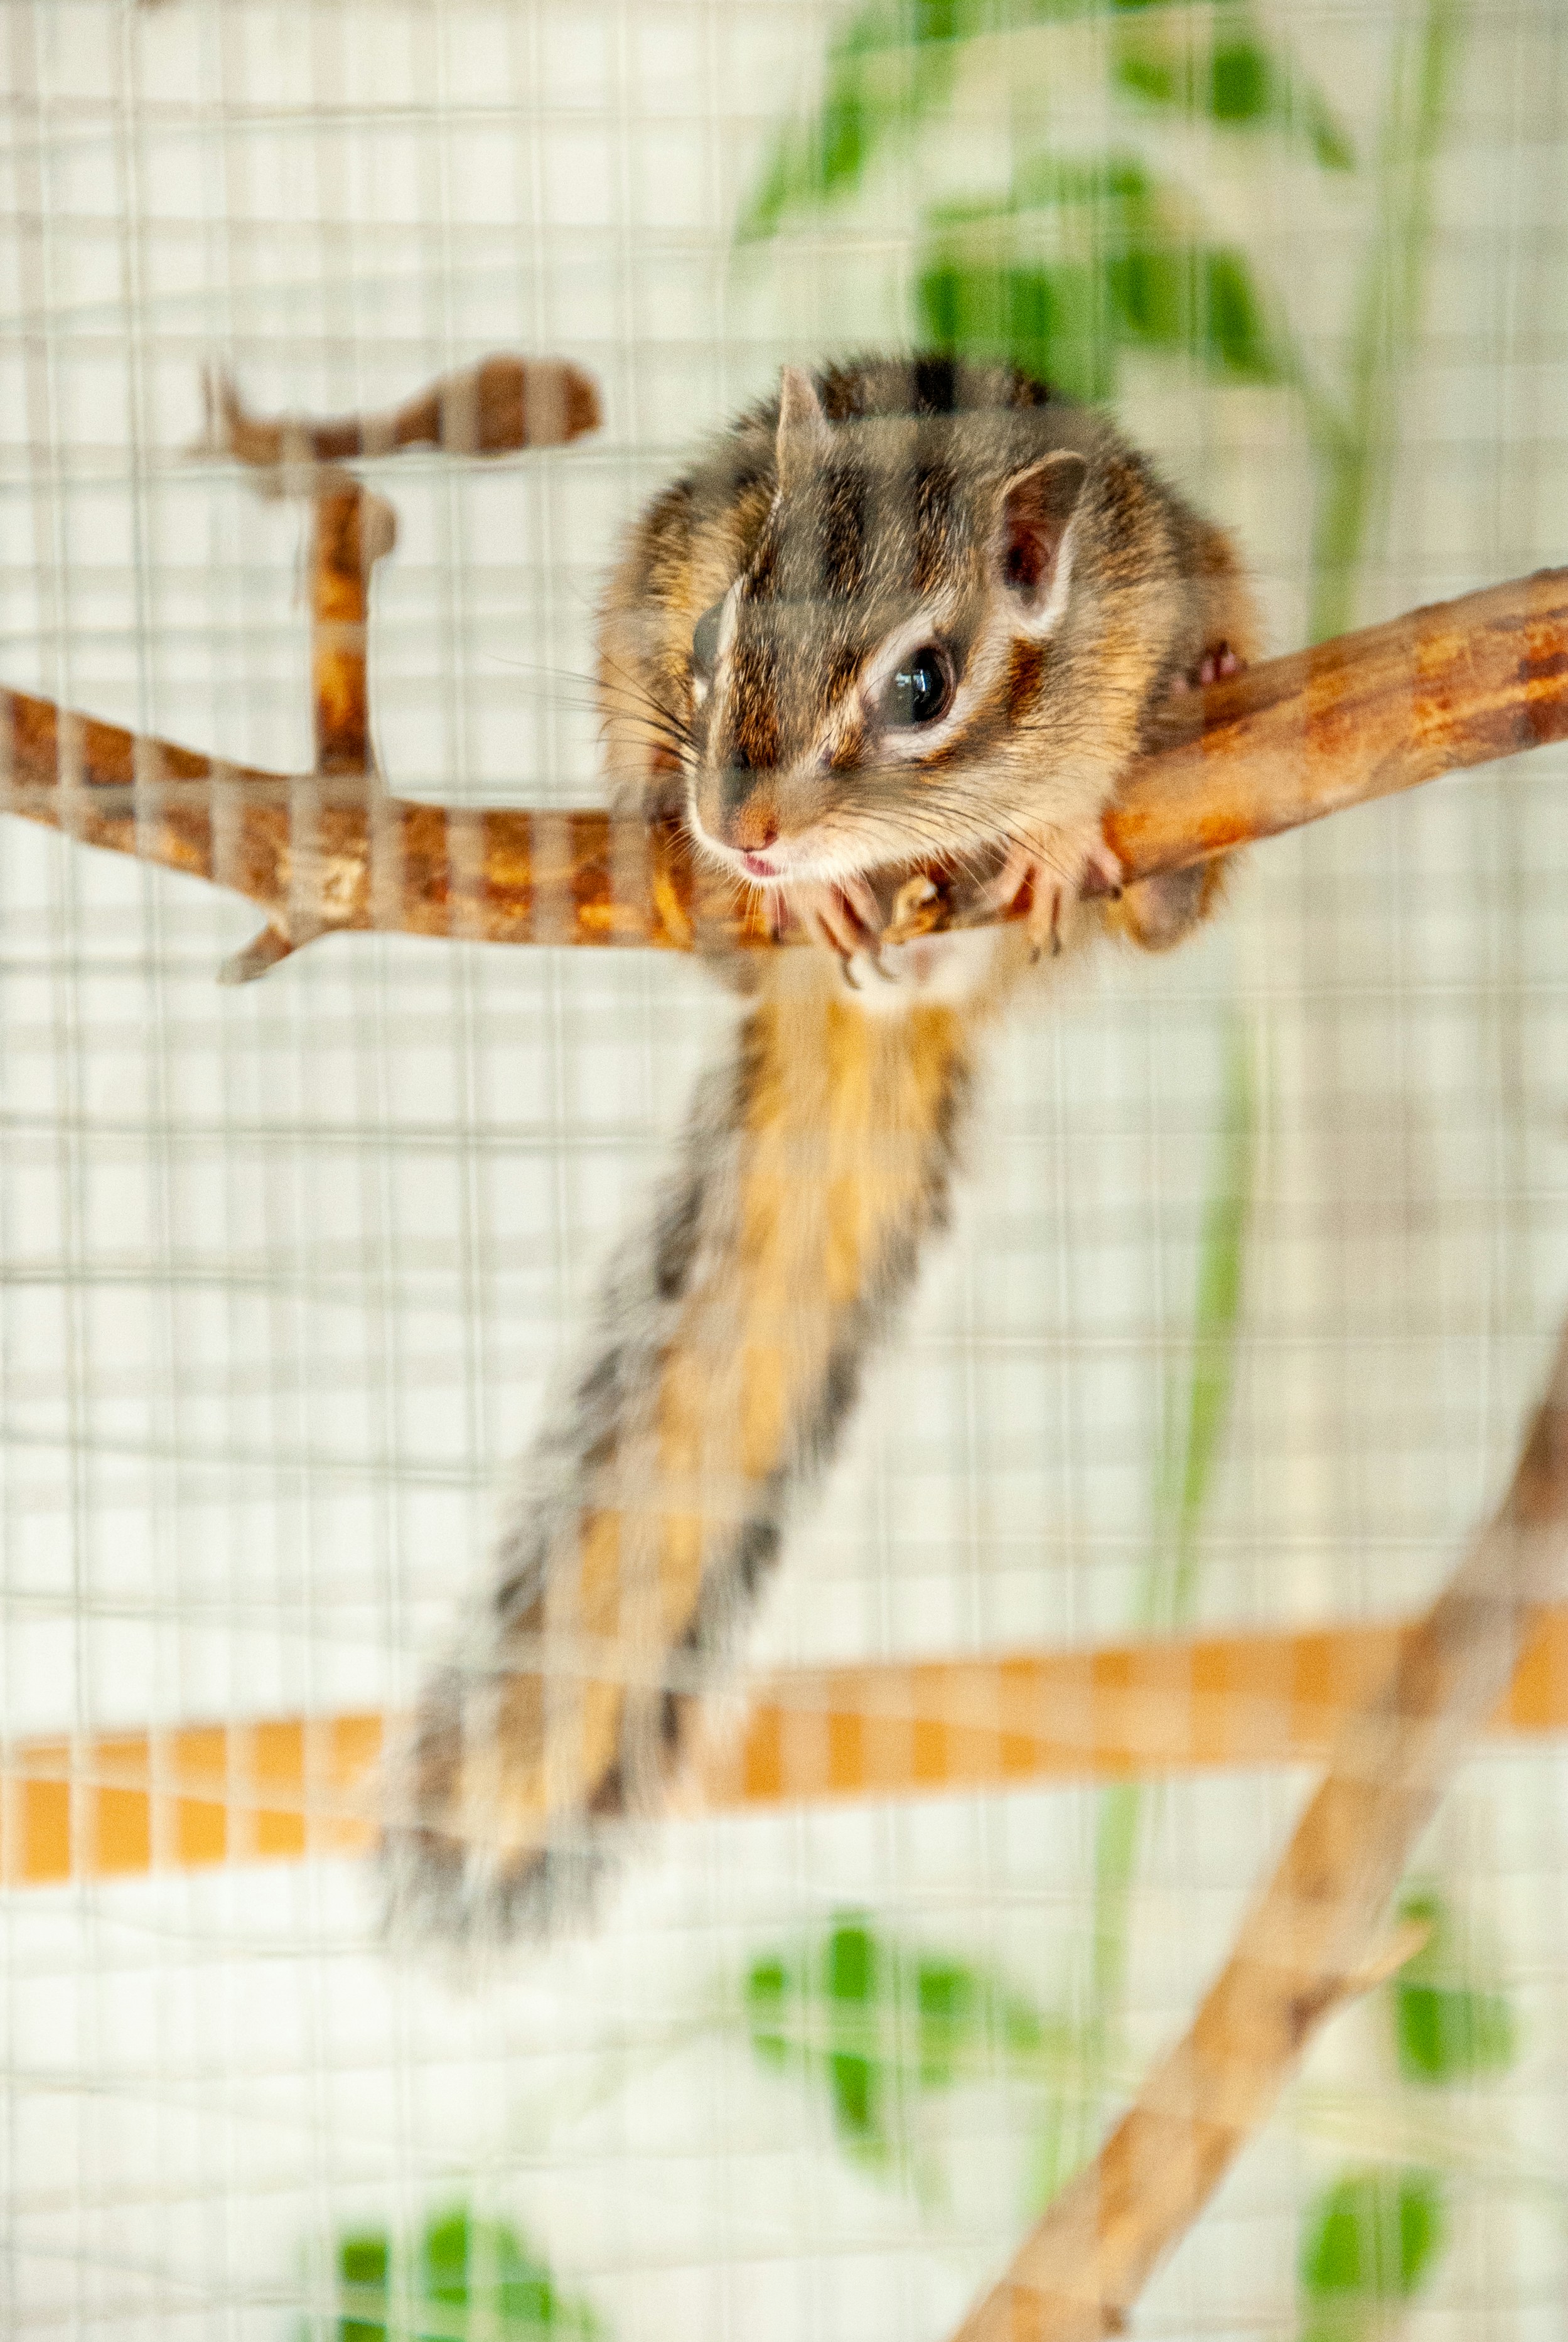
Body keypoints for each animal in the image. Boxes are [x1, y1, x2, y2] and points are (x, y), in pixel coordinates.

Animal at [380, 353, 1258, 1942]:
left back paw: (1198, 734)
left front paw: (1054, 829)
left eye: (923, 686)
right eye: (715, 628)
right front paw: (771, 874)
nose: (744, 829)